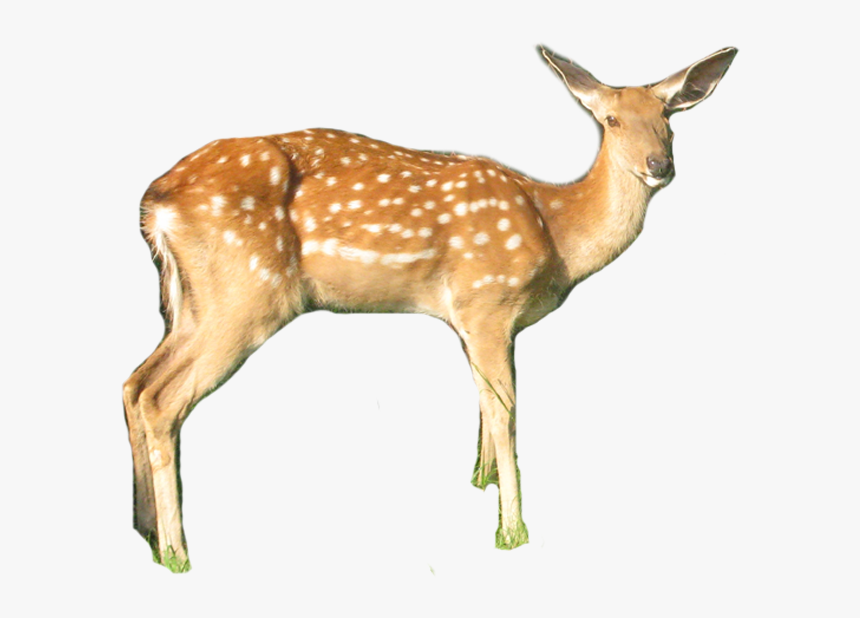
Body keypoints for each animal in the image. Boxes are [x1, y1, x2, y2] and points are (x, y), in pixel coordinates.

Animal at [123, 45, 737, 571]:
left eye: (668, 118)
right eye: (610, 120)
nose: (659, 164)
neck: (556, 229)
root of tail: (154, 201)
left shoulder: (474, 320)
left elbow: (485, 404)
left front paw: (481, 483)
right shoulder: (488, 299)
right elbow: (508, 412)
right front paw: (511, 531)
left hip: (192, 302)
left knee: (134, 383)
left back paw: (146, 532)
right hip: (247, 292)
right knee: (161, 398)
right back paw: (178, 553)